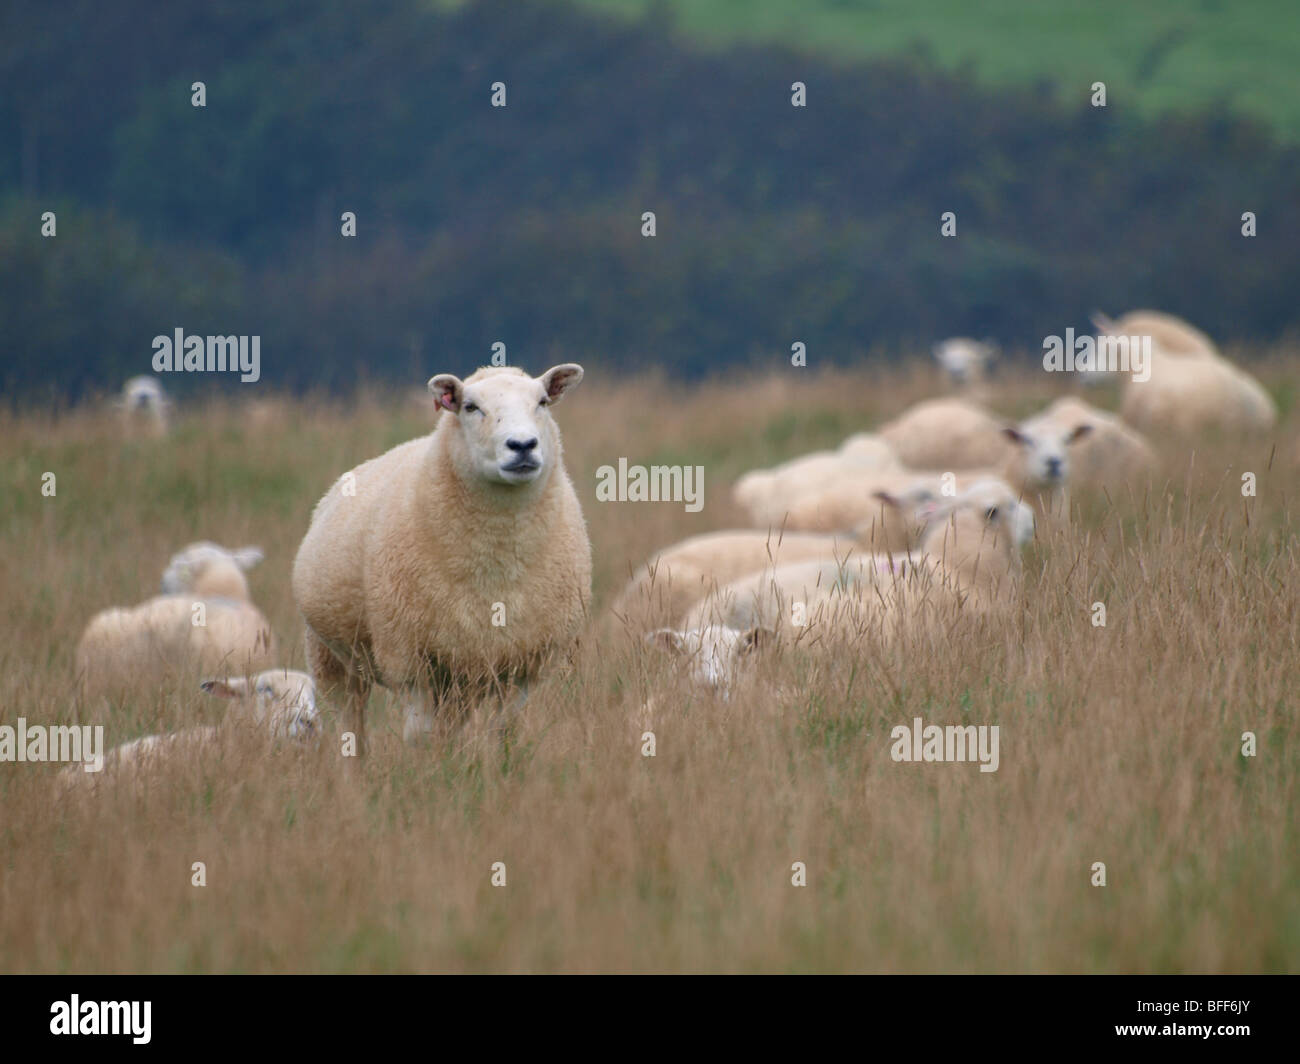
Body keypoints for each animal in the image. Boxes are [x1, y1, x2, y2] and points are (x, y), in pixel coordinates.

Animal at [292, 364, 591, 754]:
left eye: (542, 401)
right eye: (470, 407)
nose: (523, 445)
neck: (498, 556)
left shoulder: (525, 666)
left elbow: (504, 733)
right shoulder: (409, 660)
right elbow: (420, 737)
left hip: (459, 677)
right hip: (331, 659)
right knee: (351, 727)